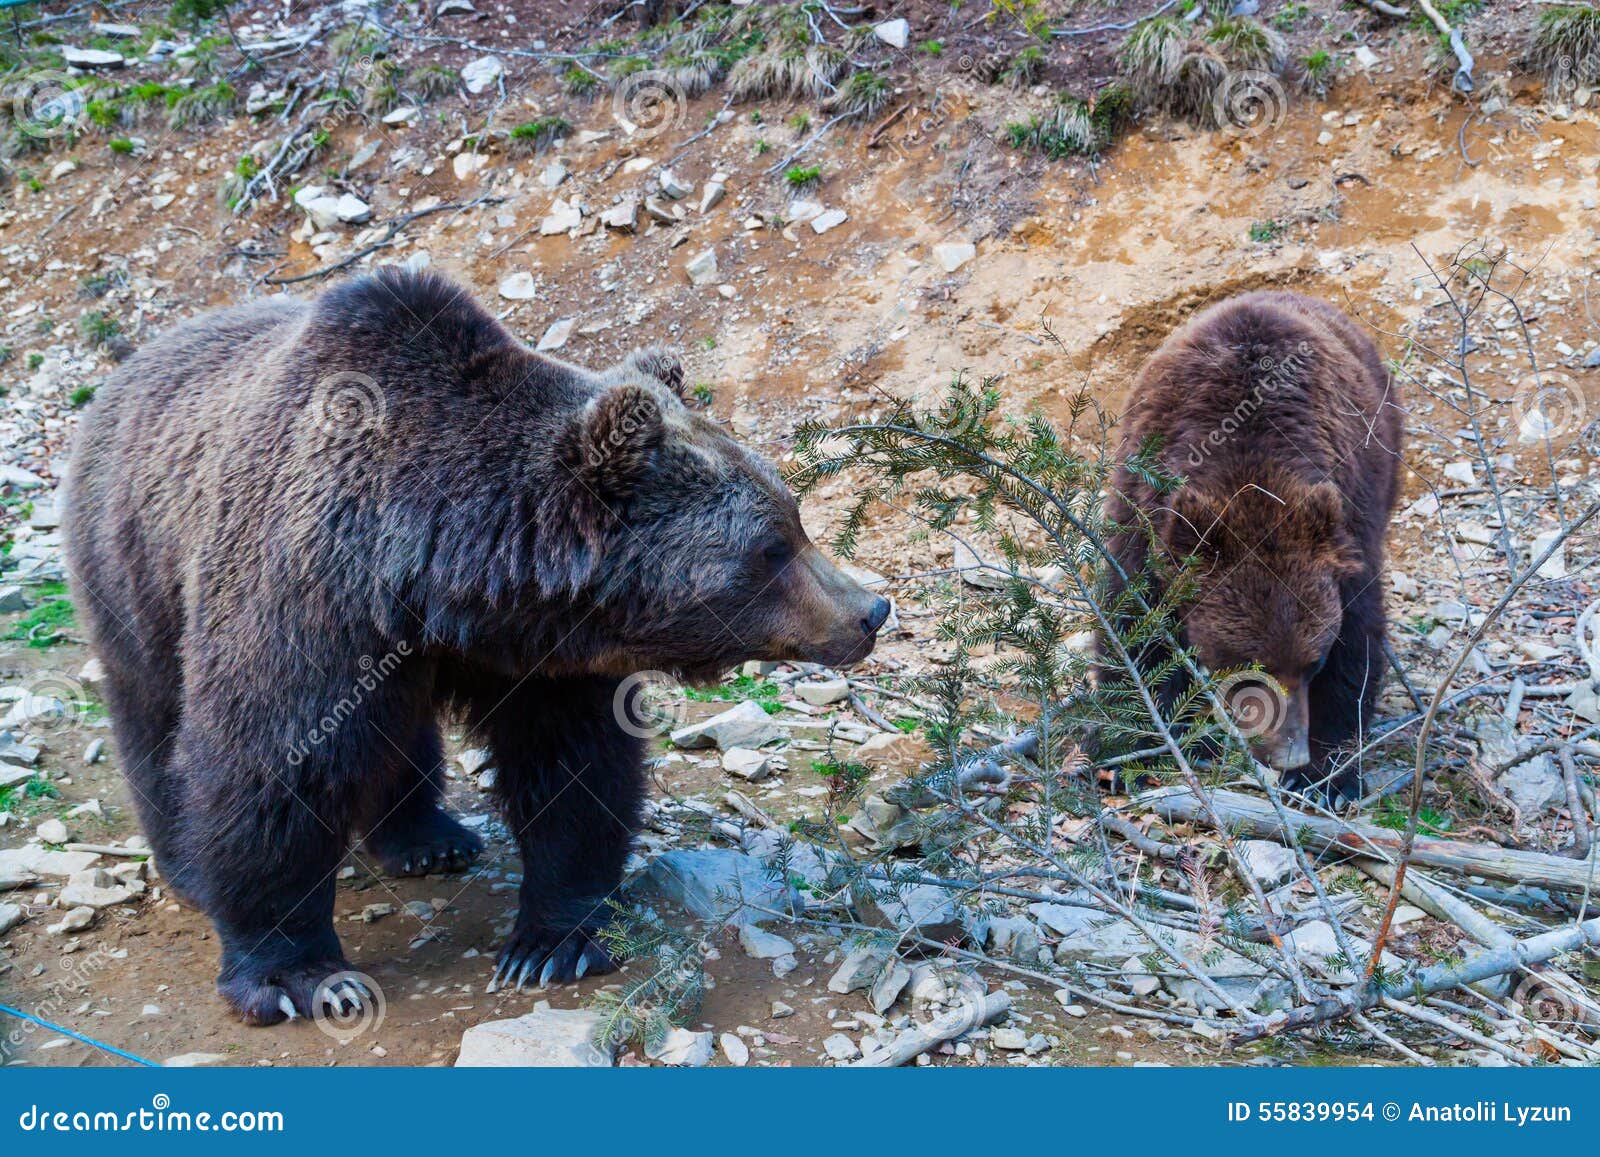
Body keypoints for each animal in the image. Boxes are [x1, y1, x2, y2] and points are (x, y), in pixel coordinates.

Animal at [63, 269, 890, 1025]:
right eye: (771, 547)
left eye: (793, 512)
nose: (871, 610)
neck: (436, 575)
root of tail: (128, 369)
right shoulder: (304, 596)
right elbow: (275, 762)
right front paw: (293, 974)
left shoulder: (532, 656)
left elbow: (571, 766)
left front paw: (552, 940)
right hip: (133, 561)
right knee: (152, 711)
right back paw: (187, 861)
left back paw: (426, 838)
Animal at [1100, 290, 1402, 800]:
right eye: (1246, 662)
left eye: (1312, 663)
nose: (1288, 753)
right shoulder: (1144, 510)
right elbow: (1135, 626)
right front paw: (1128, 751)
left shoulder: (1349, 523)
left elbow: (1356, 644)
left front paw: (1328, 777)